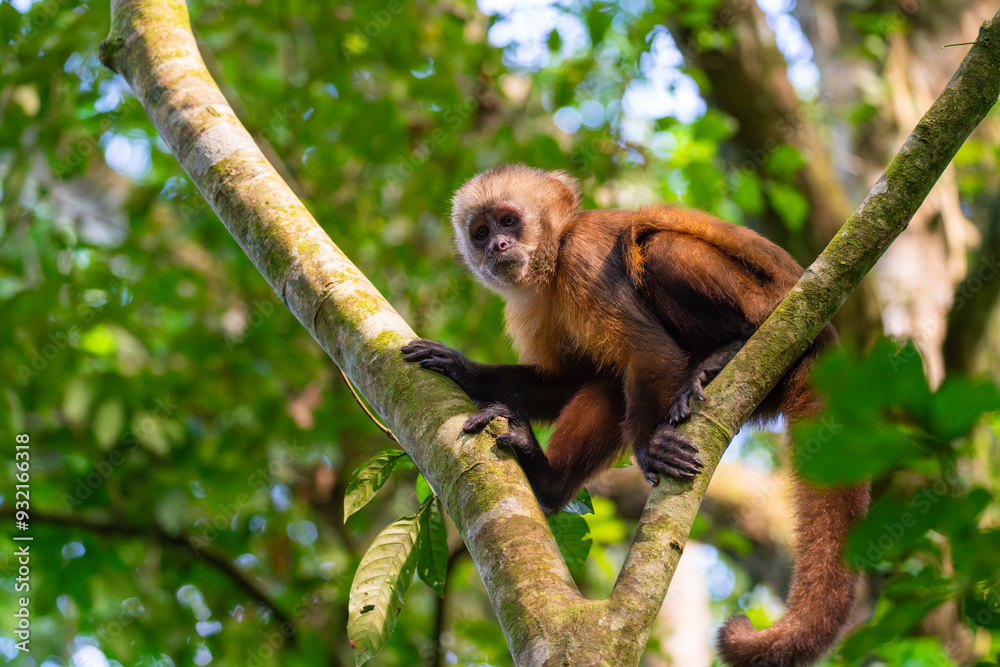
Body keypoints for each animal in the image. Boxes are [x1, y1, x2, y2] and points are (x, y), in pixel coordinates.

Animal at [401, 164, 870, 667]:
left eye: (508, 221)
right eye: (481, 233)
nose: (497, 247)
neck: (554, 260)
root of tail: (825, 345)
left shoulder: (584, 259)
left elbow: (648, 351)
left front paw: (649, 451)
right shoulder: (533, 305)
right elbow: (573, 380)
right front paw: (462, 369)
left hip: (769, 310)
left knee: (654, 246)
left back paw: (732, 346)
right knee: (609, 383)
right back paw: (548, 481)